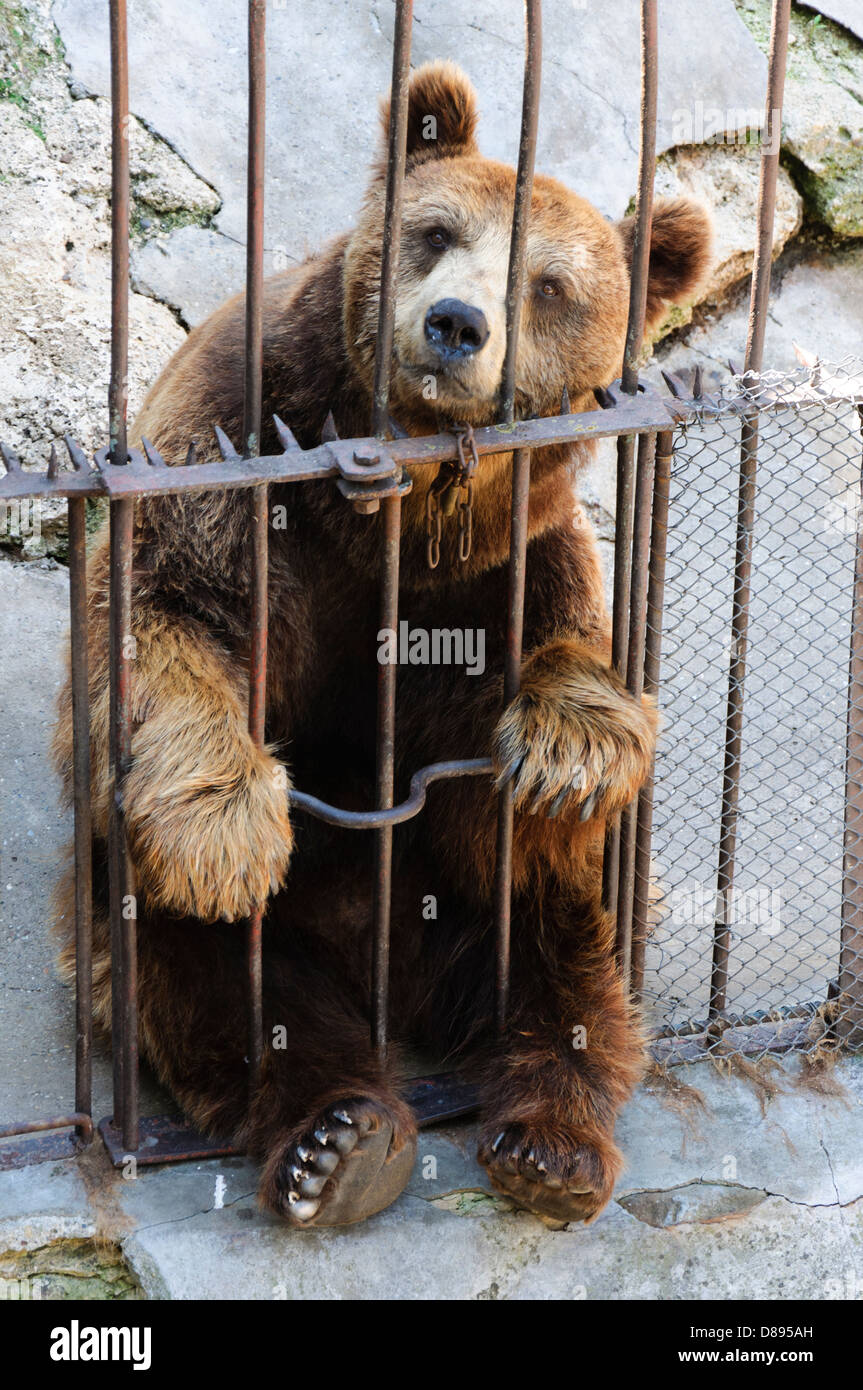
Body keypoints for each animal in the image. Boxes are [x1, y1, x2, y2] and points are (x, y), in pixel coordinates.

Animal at [53, 61, 710, 1228]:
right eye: (435, 232)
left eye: (548, 284)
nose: (453, 325)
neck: (392, 497)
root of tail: (389, 991)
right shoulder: (236, 452)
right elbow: (158, 613)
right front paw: (227, 827)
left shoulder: (503, 565)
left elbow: (558, 683)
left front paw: (569, 750)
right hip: (192, 916)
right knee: (205, 981)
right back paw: (339, 1142)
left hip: (485, 912)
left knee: (564, 948)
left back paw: (550, 1144)